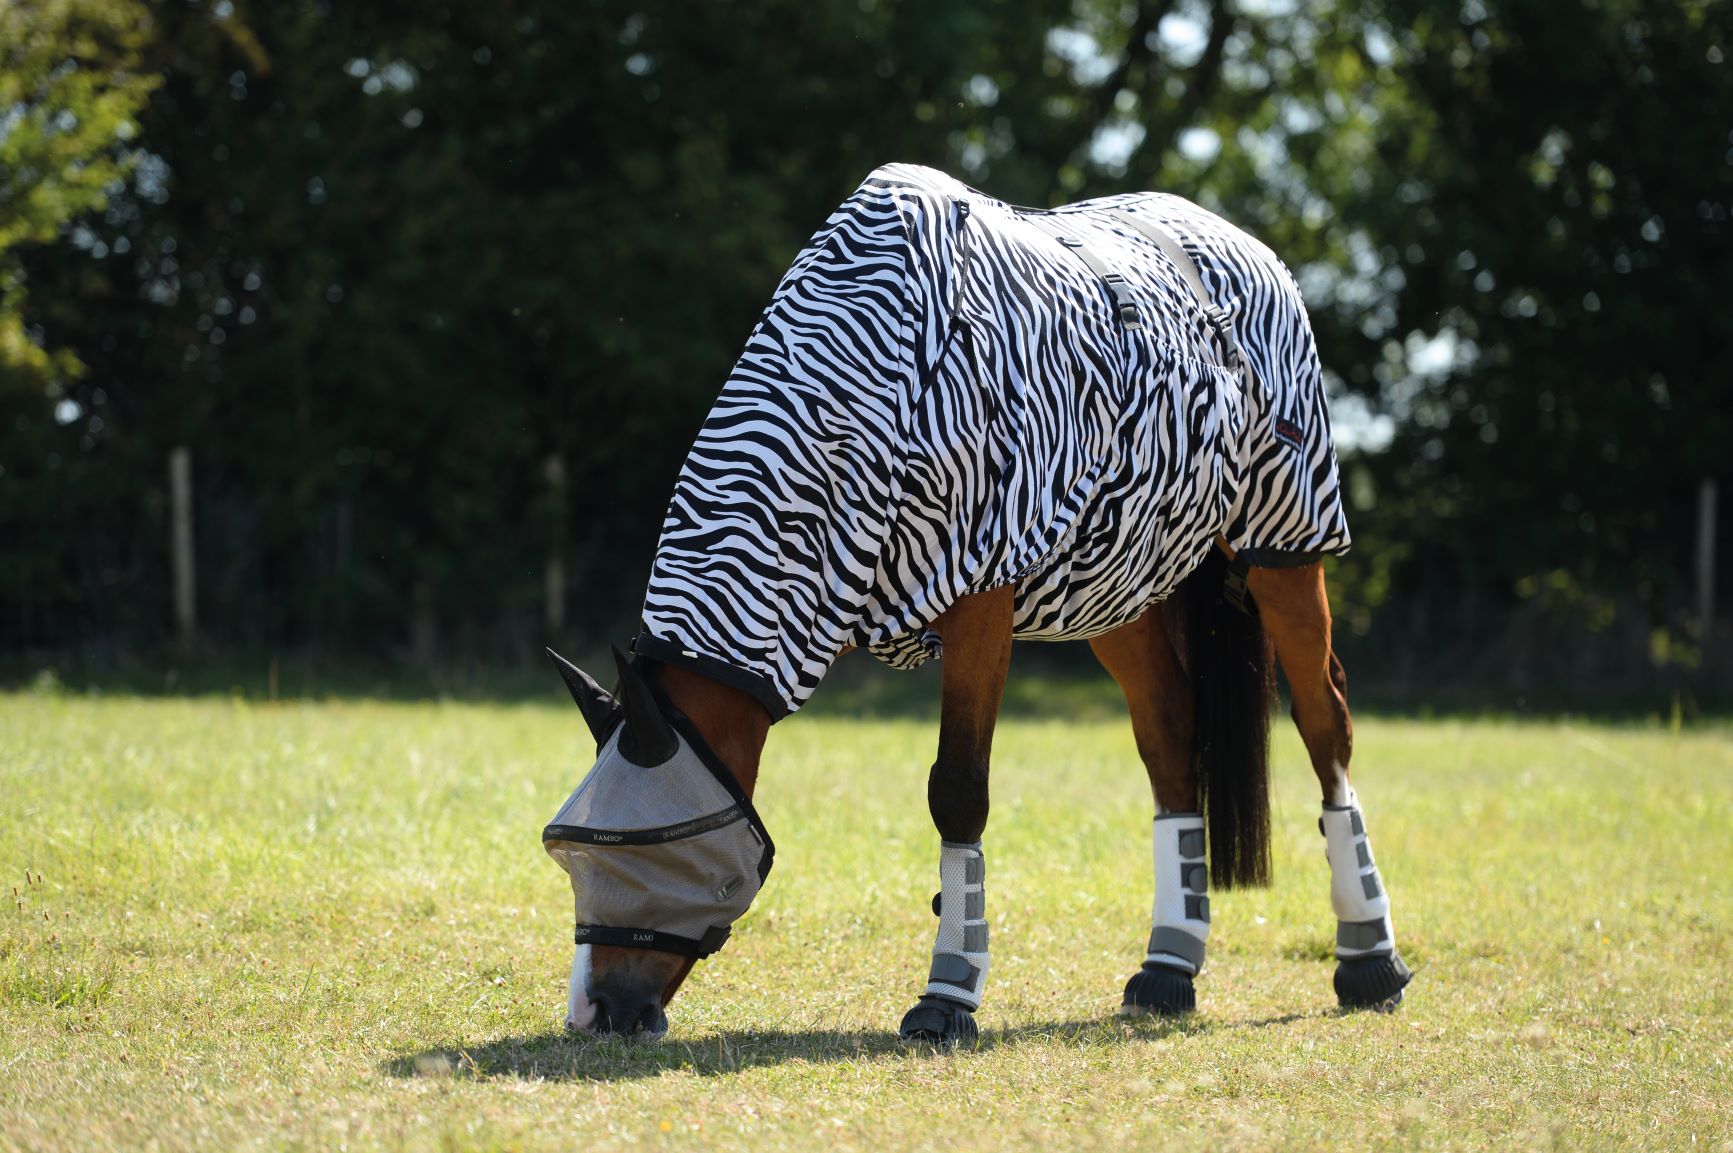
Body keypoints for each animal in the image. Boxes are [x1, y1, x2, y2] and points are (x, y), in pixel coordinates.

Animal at [541, 164, 1412, 1042]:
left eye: (649, 849)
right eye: (569, 851)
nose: (595, 1010)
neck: (873, 384)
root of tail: (1242, 245)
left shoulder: (979, 594)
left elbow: (957, 788)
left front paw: (947, 994)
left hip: (1284, 546)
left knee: (1324, 721)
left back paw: (1367, 957)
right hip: (1119, 581)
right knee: (1170, 733)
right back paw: (1170, 963)